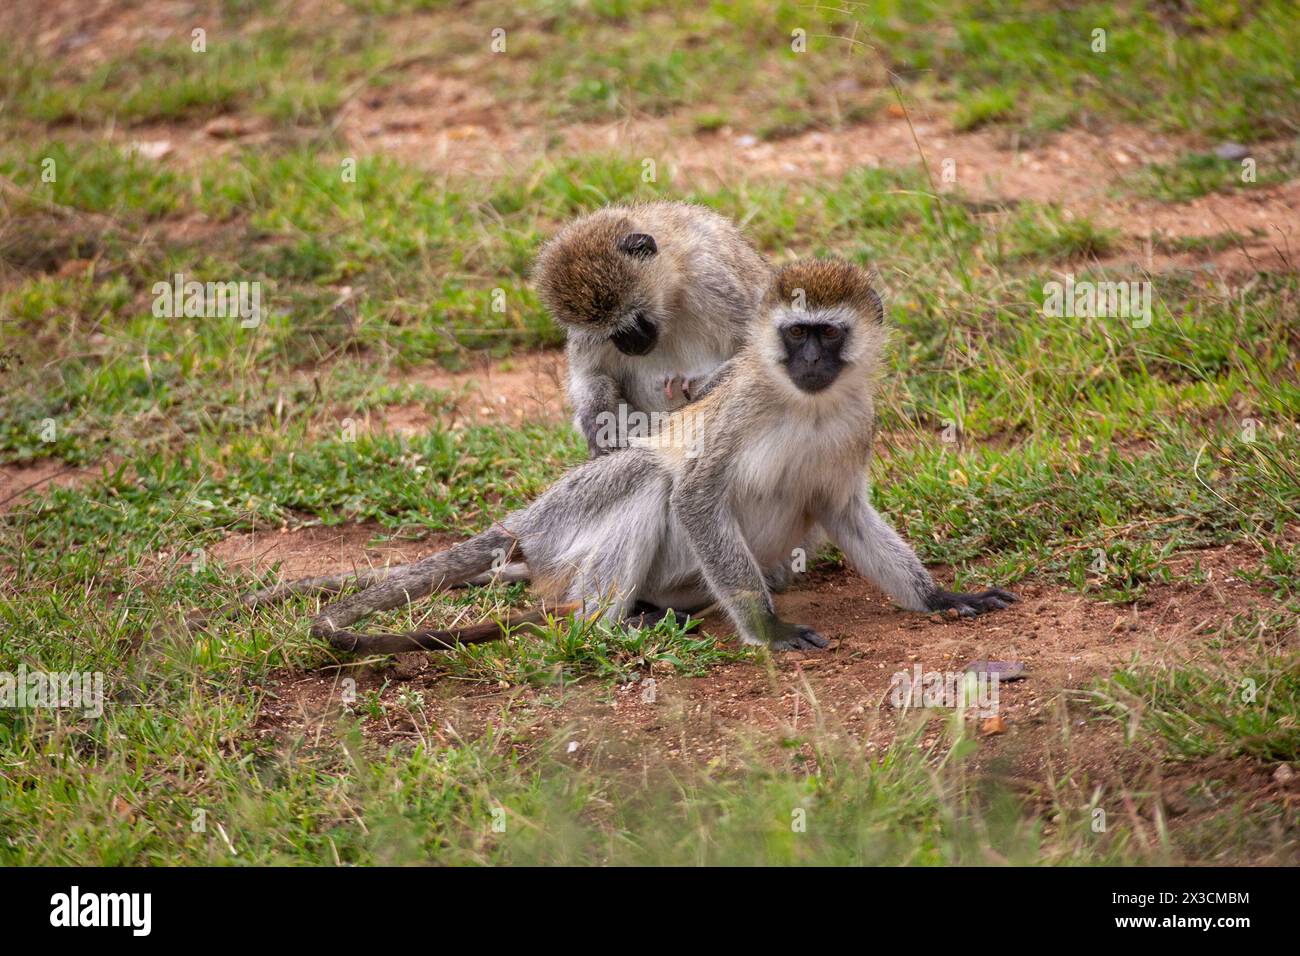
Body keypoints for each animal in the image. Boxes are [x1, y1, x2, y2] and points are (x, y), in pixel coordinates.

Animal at [219, 259, 1015, 654]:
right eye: (795, 335)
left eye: (828, 333)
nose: (812, 361)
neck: (805, 405)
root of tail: (528, 521)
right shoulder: (741, 411)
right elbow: (693, 494)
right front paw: (766, 631)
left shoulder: (854, 427)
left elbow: (845, 513)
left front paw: (941, 597)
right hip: (567, 527)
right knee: (645, 479)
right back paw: (610, 624)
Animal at [533, 200, 771, 458]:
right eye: (608, 334)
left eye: (634, 317)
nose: (631, 347)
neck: (673, 288)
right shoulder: (585, 335)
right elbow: (592, 374)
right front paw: (598, 427)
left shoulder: (716, 279)